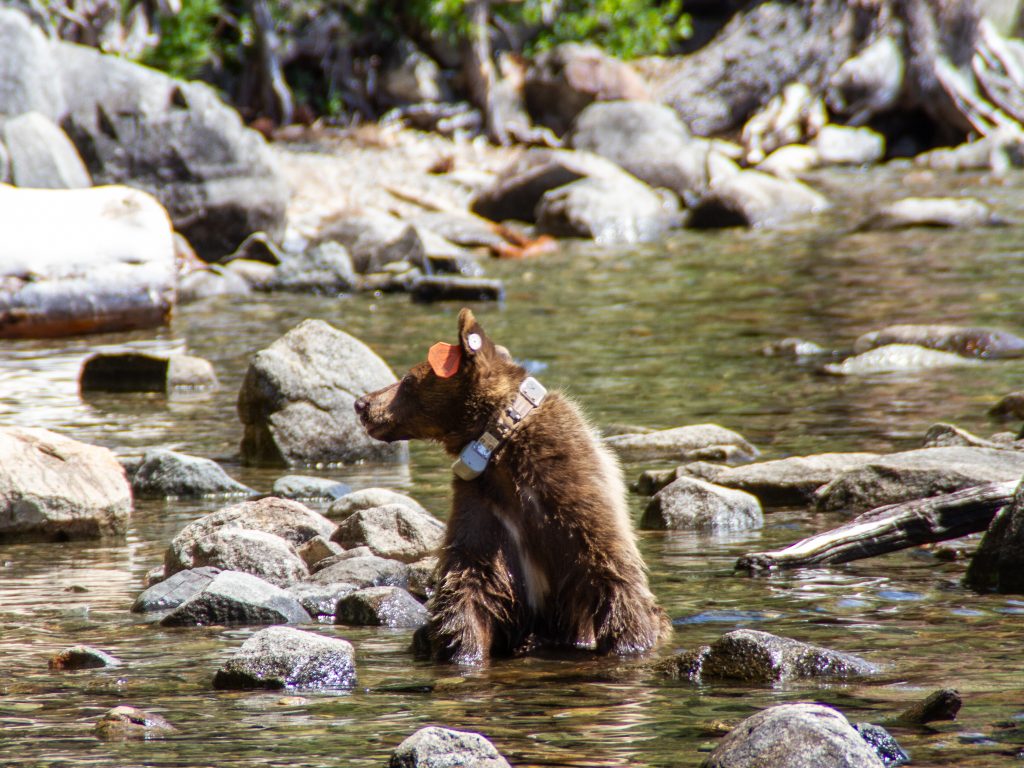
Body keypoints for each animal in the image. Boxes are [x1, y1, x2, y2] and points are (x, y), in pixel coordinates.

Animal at [355, 308, 669, 664]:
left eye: (408, 380)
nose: (362, 403)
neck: (499, 448)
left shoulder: (569, 497)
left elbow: (611, 575)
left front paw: (629, 642)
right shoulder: (485, 509)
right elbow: (469, 583)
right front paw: (463, 651)